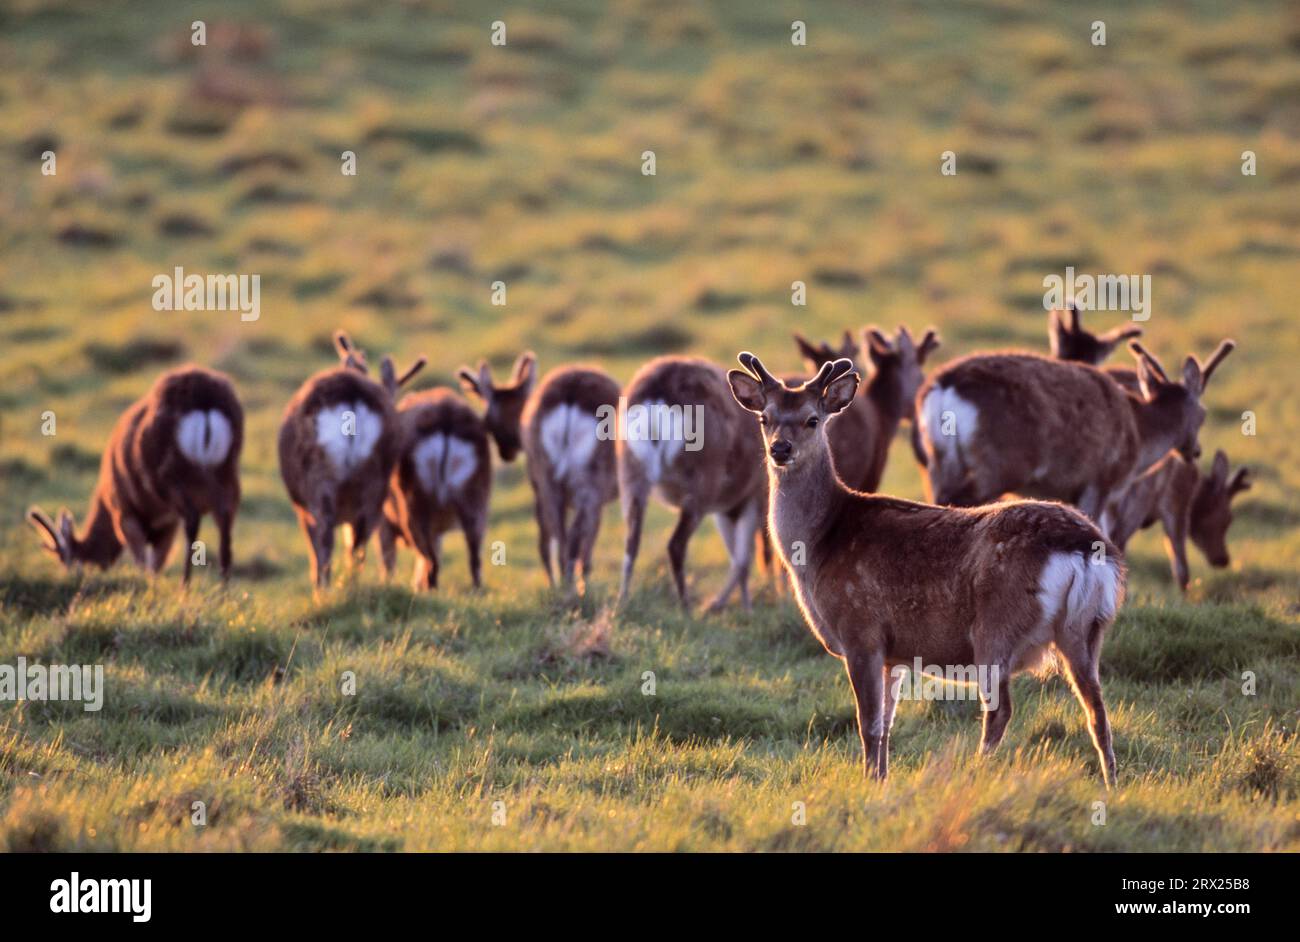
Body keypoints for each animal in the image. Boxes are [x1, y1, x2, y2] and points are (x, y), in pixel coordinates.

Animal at [27, 365, 243, 584]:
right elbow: (157, 563)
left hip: (167, 475)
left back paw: (186, 584)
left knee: (193, 517)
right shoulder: (168, 524)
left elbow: (143, 561)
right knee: (225, 519)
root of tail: (204, 399)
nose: (70, 577)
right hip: (229, 469)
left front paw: (145, 583)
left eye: (65, 559)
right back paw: (223, 586)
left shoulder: (125, 512)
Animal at [278, 332, 408, 590]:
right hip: (376, 482)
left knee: (325, 539)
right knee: (359, 541)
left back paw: (324, 591)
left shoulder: (301, 508)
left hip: (319, 479)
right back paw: (350, 587)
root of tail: (351, 396)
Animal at [617, 356, 767, 612]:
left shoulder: (726, 507)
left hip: (630, 470)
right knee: (676, 543)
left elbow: (738, 557)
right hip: (702, 480)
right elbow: (743, 558)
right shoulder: (753, 494)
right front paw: (745, 609)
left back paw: (622, 602)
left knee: (631, 540)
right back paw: (686, 607)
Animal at [728, 353, 1125, 786]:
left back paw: (976, 772)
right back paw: (1110, 783)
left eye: (812, 419)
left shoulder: (861, 629)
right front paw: (880, 780)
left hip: (997, 626)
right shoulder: (894, 654)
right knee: (1097, 710)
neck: (821, 541)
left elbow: (868, 723)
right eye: (764, 417)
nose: (780, 449)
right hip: (1087, 630)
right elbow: (886, 725)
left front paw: (870, 782)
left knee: (1000, 711)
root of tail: (1085, 548)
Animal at [917, 338, 1235, 534]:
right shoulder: (1100, 481)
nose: (1195, 451)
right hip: (1001, 465)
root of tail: (943, 387)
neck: (1139, 435)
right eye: (1203, 415)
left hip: (938, 461)